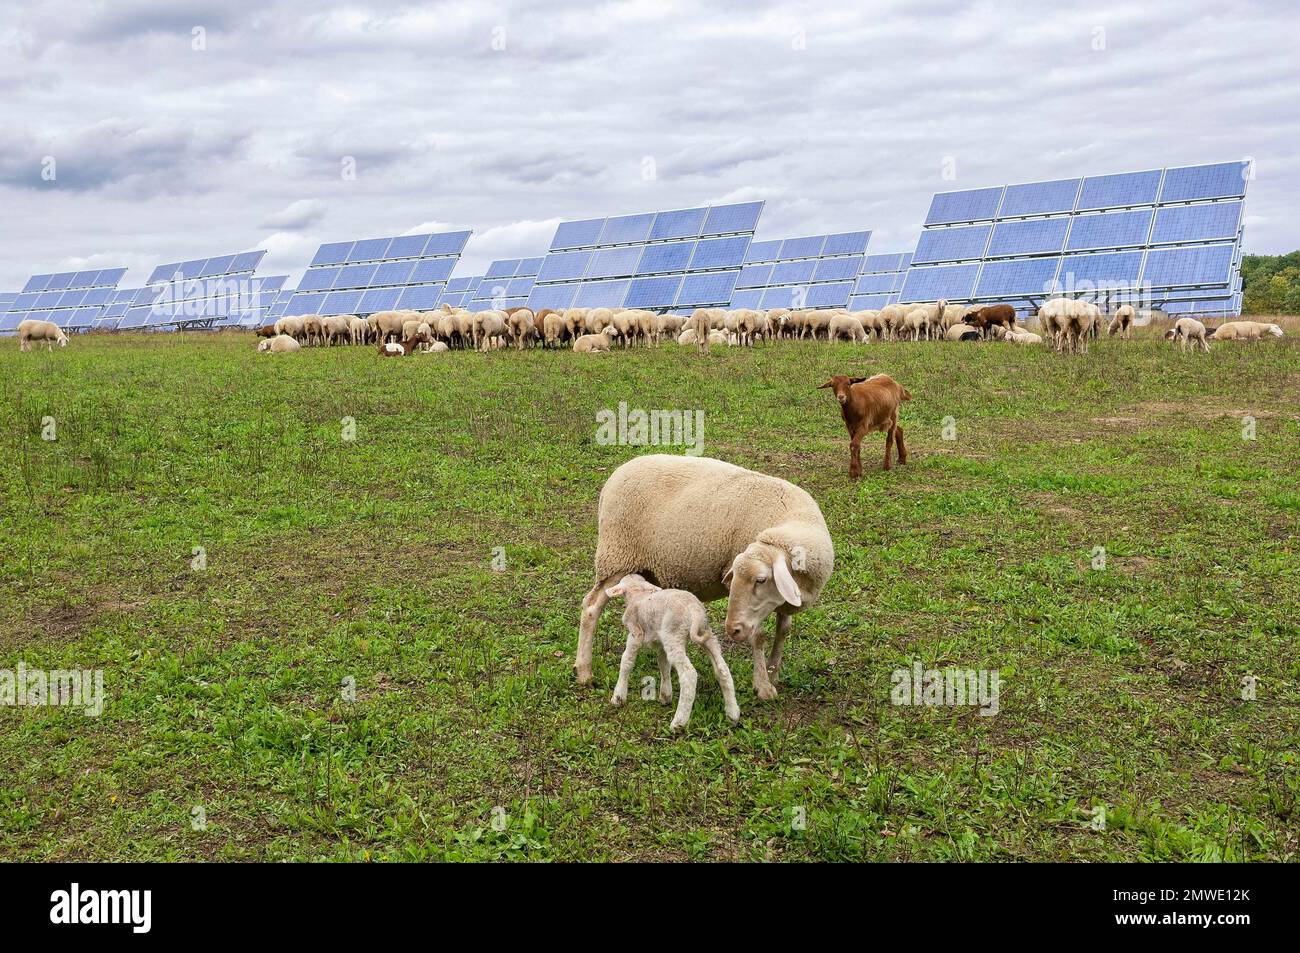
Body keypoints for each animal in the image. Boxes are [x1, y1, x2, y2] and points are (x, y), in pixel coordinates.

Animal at [575, 454, 834, 702]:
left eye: (761, 580)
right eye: (735, 578)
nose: (732, 629)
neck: (793, 521)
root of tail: (614, 477)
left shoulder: (782, 598)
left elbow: (784, 630)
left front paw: (773, 671)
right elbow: (759, 637)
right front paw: (762, 686)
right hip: (616, 557)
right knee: (591, 606)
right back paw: (584, 671)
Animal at [604, 574, 740, 730]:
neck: (638, 594)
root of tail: (694, 609)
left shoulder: (635, 634)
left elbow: (626, 661)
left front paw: (618, 697)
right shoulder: (661, 643)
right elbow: (663, 664)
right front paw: (665, 695)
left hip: (674, 634)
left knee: (688, 674)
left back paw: (679, 722)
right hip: (704, 633)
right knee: (722, 669)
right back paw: (733, 714)